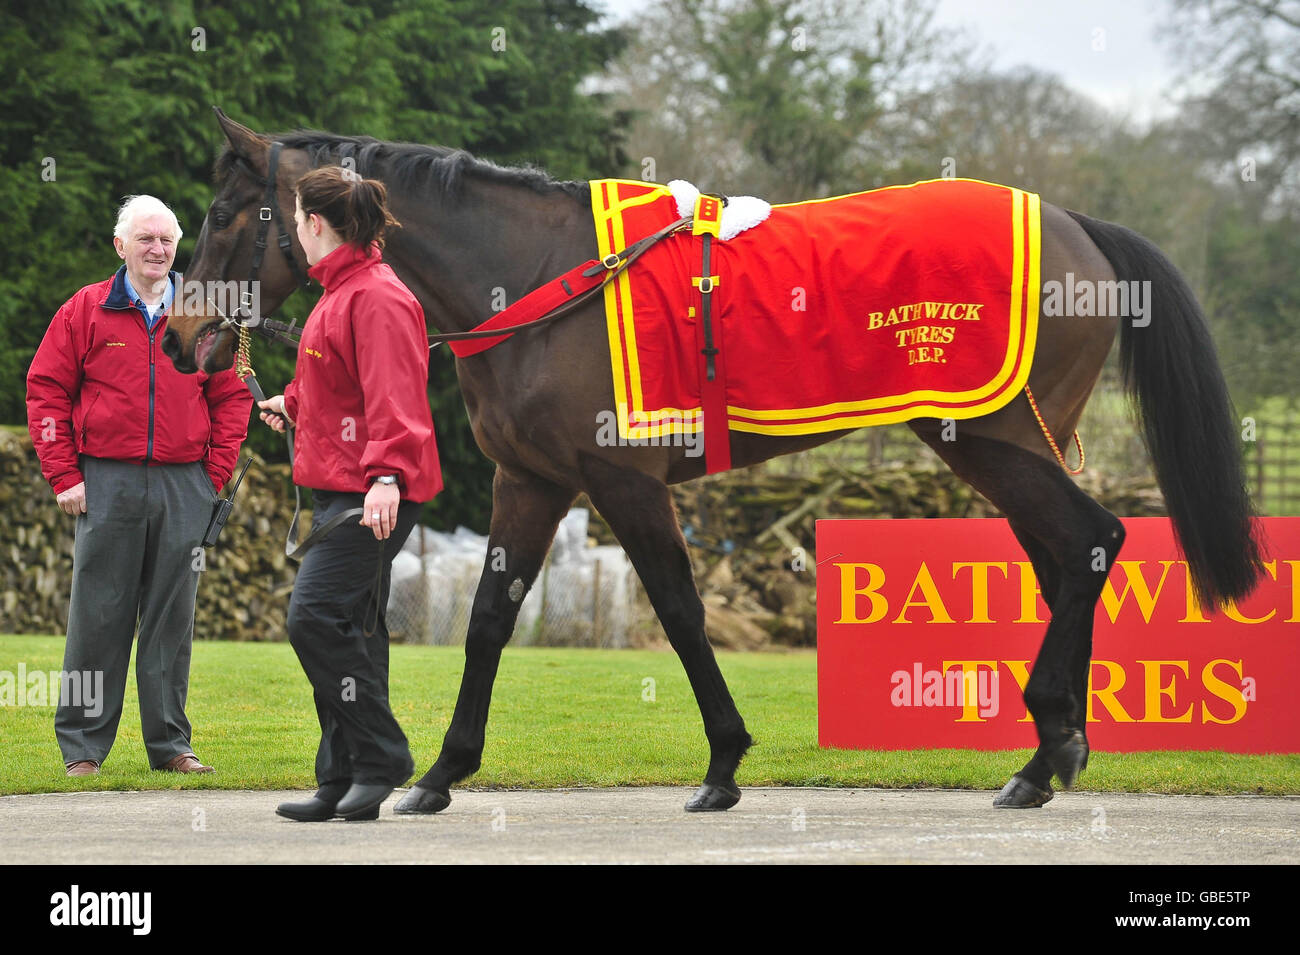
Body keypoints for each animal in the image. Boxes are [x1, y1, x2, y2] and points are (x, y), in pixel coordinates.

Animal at [161, 108, 1263, 814]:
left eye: (219, 215)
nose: (179, 341)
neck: (539, 278)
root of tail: (1077, 226)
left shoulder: (623, 482)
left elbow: (681, 613)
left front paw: (724, 762)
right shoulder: (533, 481)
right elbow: (488, 619)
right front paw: (439, 772)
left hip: (995, 436)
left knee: (1090, 540)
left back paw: (1045, 751)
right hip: (1012, 441)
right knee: (1067, 552)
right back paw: (1053, 747)